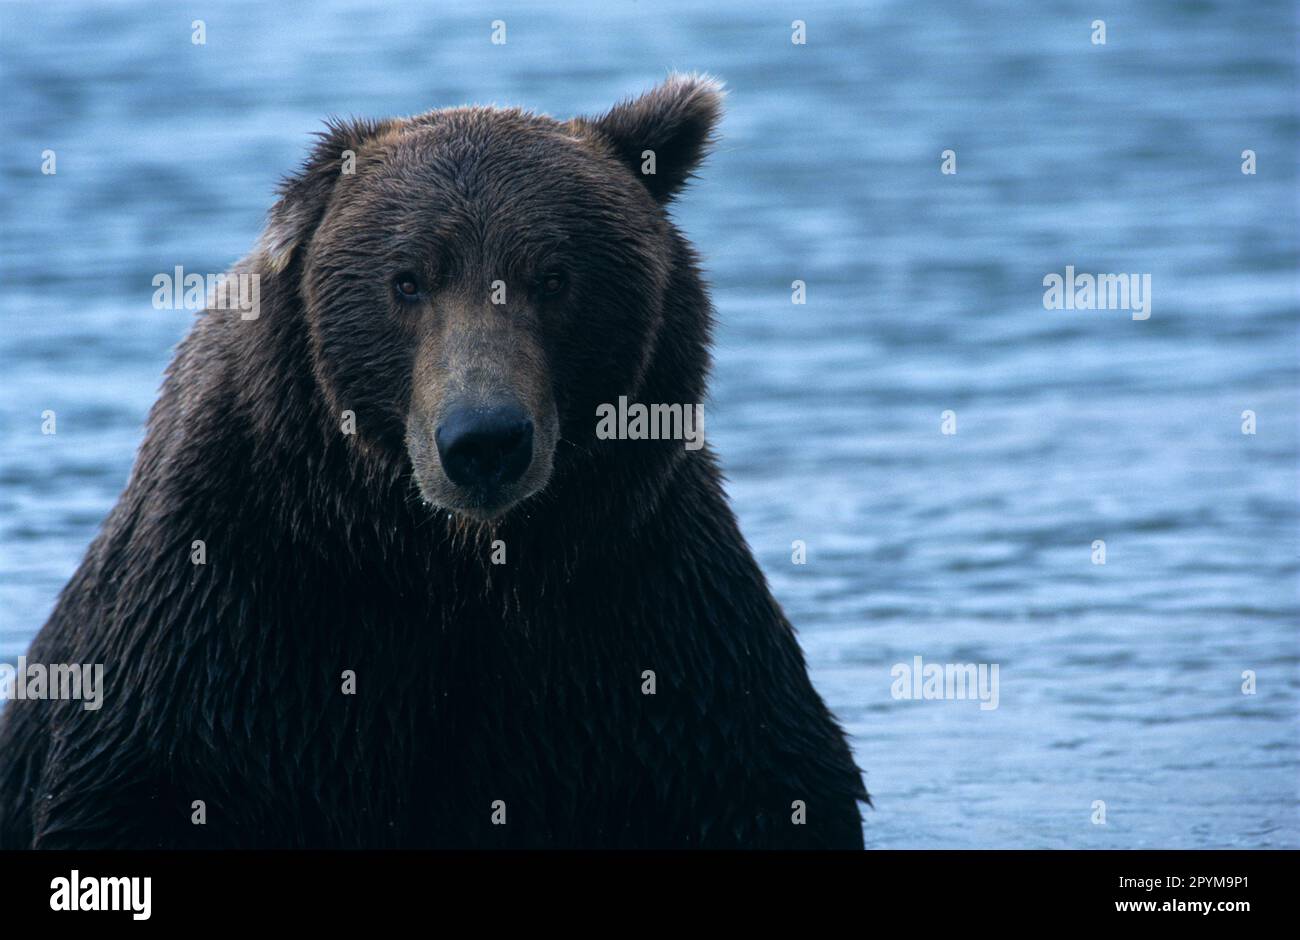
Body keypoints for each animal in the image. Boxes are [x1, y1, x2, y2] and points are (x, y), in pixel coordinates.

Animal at [0, 75, 868, 849]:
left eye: (554, 276)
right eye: (407, 279)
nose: (485, 440)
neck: (448, 564)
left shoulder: (644, 609)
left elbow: (761, 780)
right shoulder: (237, 606)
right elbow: (159, 785)